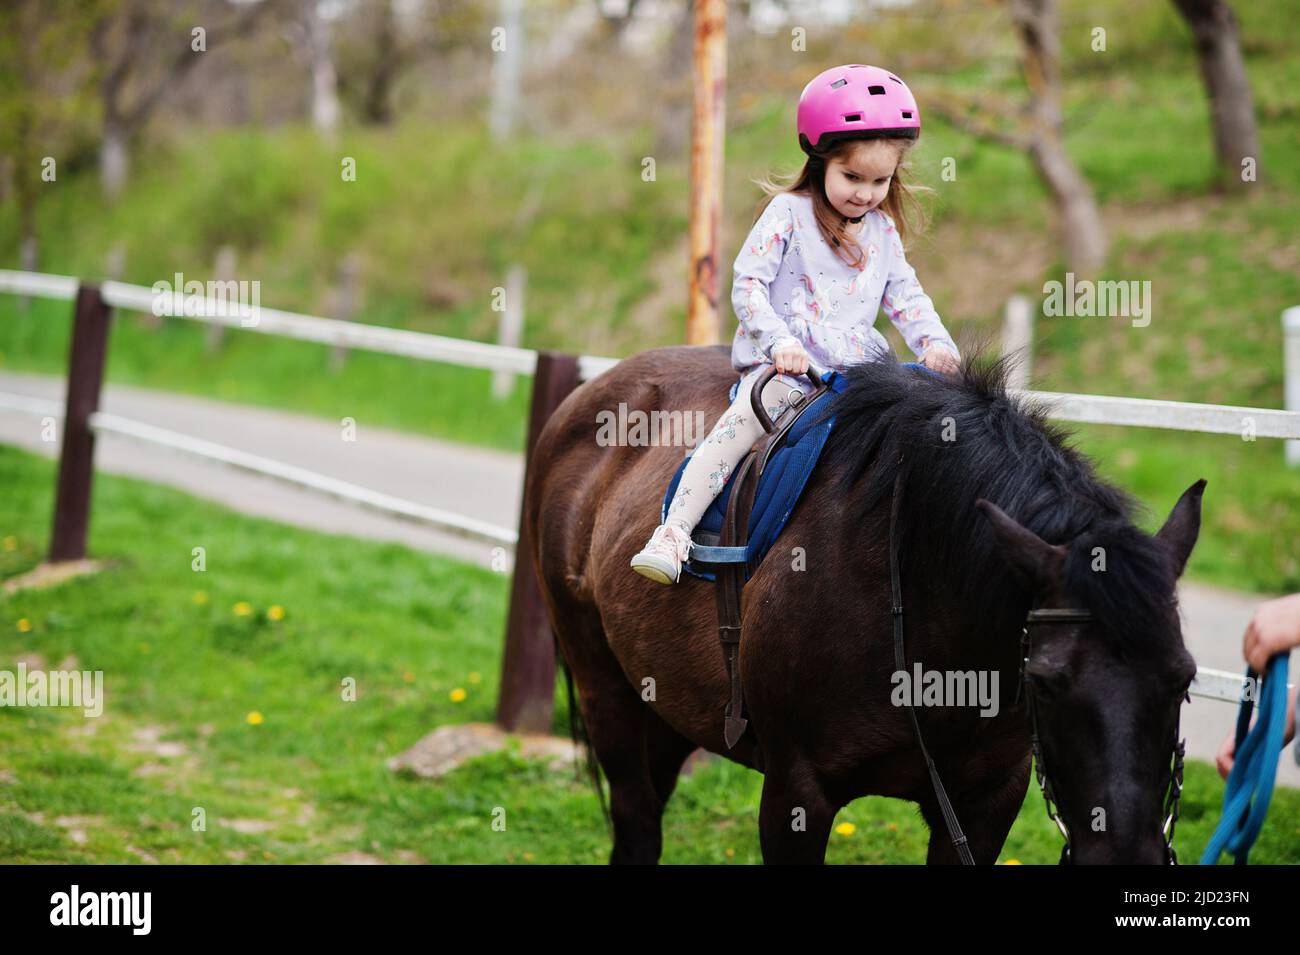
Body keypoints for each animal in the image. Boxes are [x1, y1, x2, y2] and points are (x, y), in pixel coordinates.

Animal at [524, 344, 1204, 864]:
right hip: (604, 688)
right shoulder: (796, 795)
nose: (1127, 858)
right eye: (1046, 681)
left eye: (1184, 681)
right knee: (636, 822)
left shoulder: (984, 806)